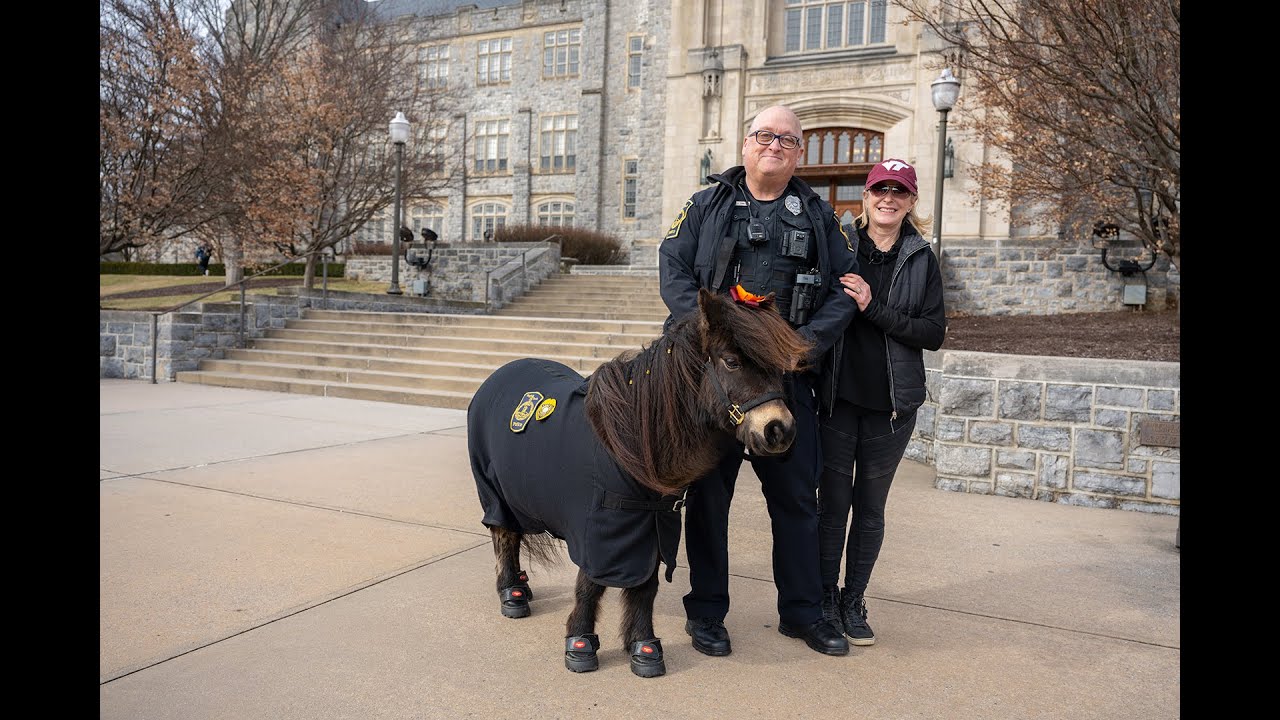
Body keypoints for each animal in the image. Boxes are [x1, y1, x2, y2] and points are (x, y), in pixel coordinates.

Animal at [467, 287, 814, 677]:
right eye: (731, 361)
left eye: (778, 367)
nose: (780, 431)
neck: (627, 442)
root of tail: (499, 375)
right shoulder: (598, 530)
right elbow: (590, 585)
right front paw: (580, 644)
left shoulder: (653, 526)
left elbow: (645, 587)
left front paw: (643, 646)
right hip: (494, 492)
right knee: (504, 536)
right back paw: (511, 593)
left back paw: (521, 586)